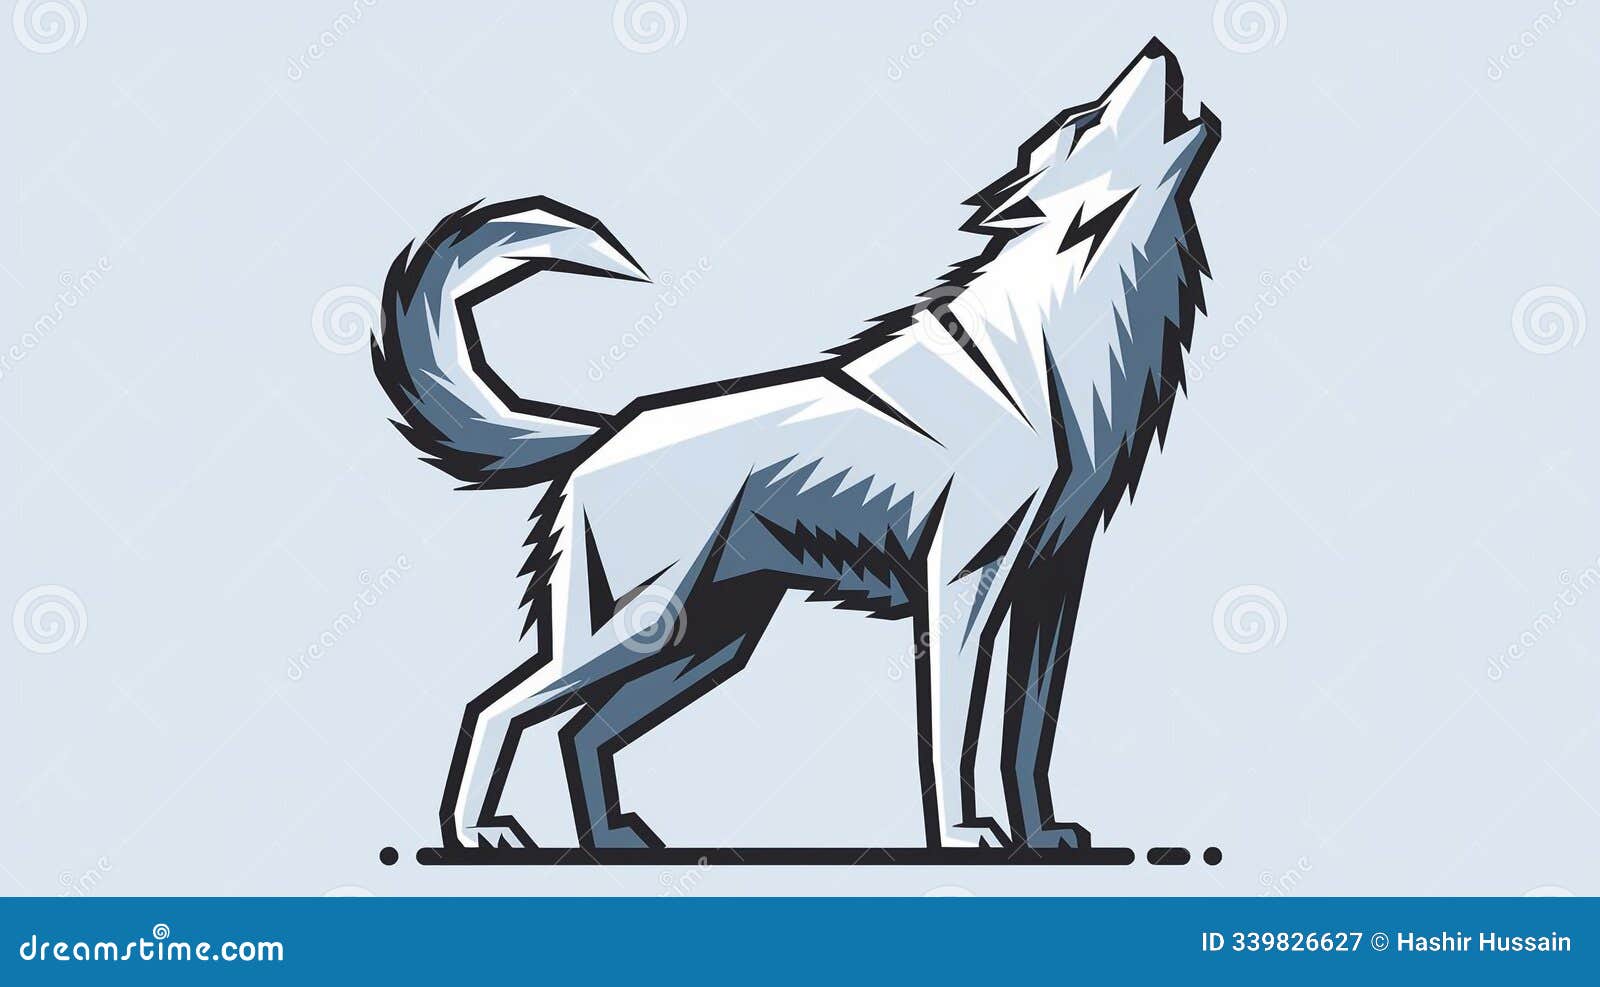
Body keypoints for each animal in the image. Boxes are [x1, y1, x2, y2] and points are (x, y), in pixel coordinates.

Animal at [372, 40, 1219, 852]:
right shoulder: (958, 590)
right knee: (497, 706)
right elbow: (952, 741)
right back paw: (477, 831)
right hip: (646, 624)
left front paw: (1041, 836)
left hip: (705, 641)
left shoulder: (1052, 587)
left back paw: (611, 837)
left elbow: (1026, 742)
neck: (1051, 354)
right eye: (1084, 120)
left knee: (579, 727)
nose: (1155, 41)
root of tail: (605, 428)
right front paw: (964, 837)